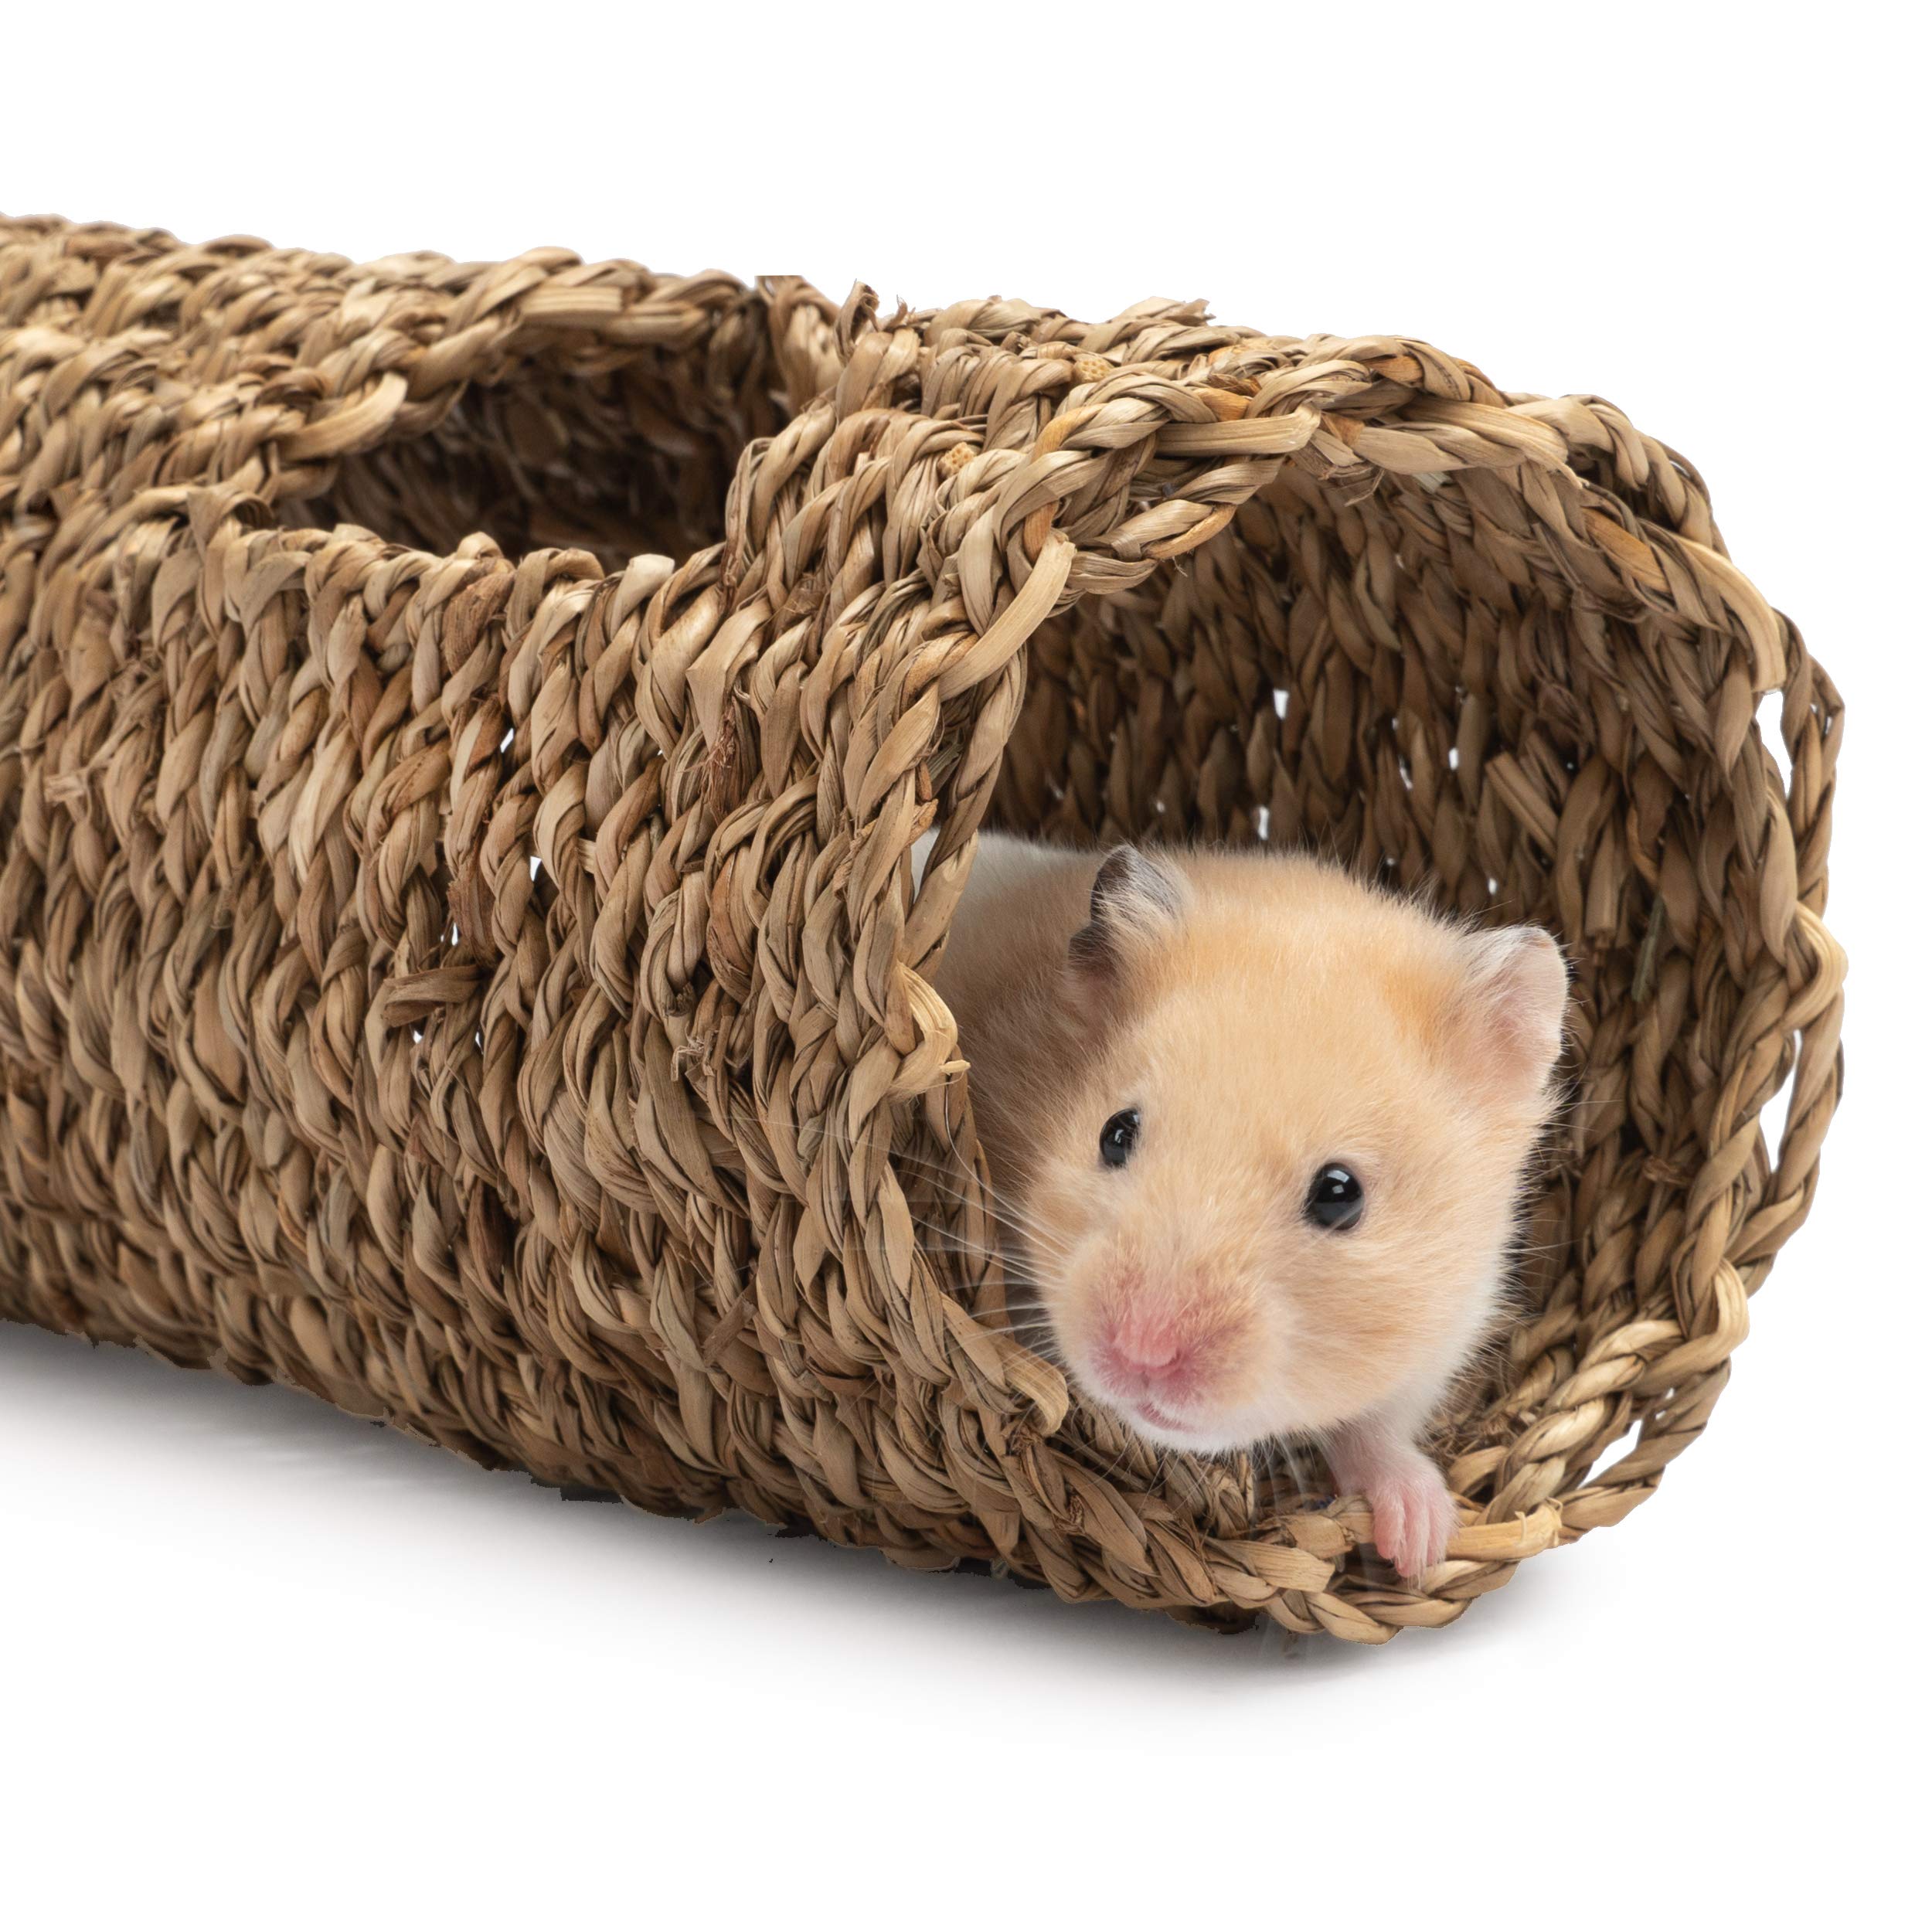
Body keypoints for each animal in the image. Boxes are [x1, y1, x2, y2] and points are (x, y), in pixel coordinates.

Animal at [919, 831, 1567, 1580]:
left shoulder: (1449, 1325)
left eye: (1341, 1194)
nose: (1141, 1354)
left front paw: (1418, 1545)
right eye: (1115, 1133)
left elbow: (1376, 1429)